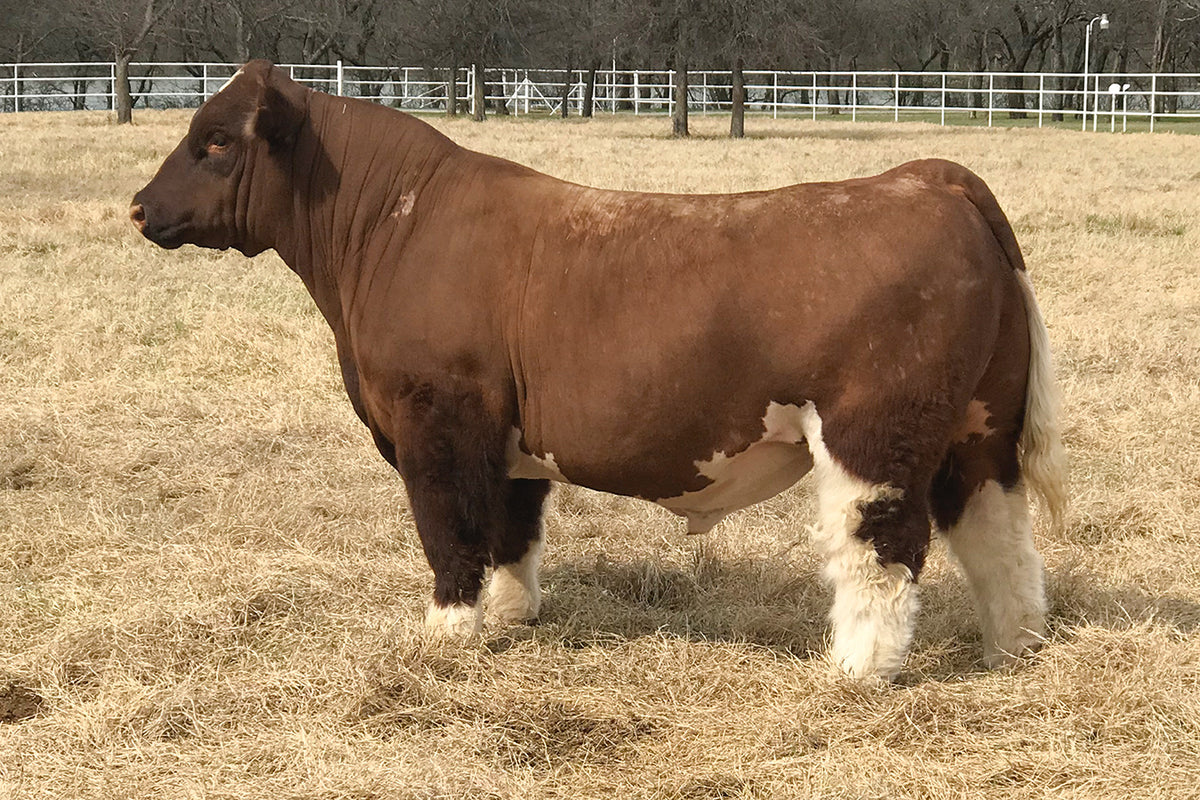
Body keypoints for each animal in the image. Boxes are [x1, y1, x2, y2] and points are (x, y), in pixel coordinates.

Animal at [130, 60, 1066, 681]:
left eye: (216, 140)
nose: (139, 207)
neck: (393, 224)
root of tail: (925, 179)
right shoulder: (507, 437)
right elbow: (511, 528)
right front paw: (512, 620)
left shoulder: (437, 419)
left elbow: (450, 529)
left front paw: (447, 637)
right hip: (978, 429)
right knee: (999, 535)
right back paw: (1013, 646)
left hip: (877, 433)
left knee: (884, 548)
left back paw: (857, 670)